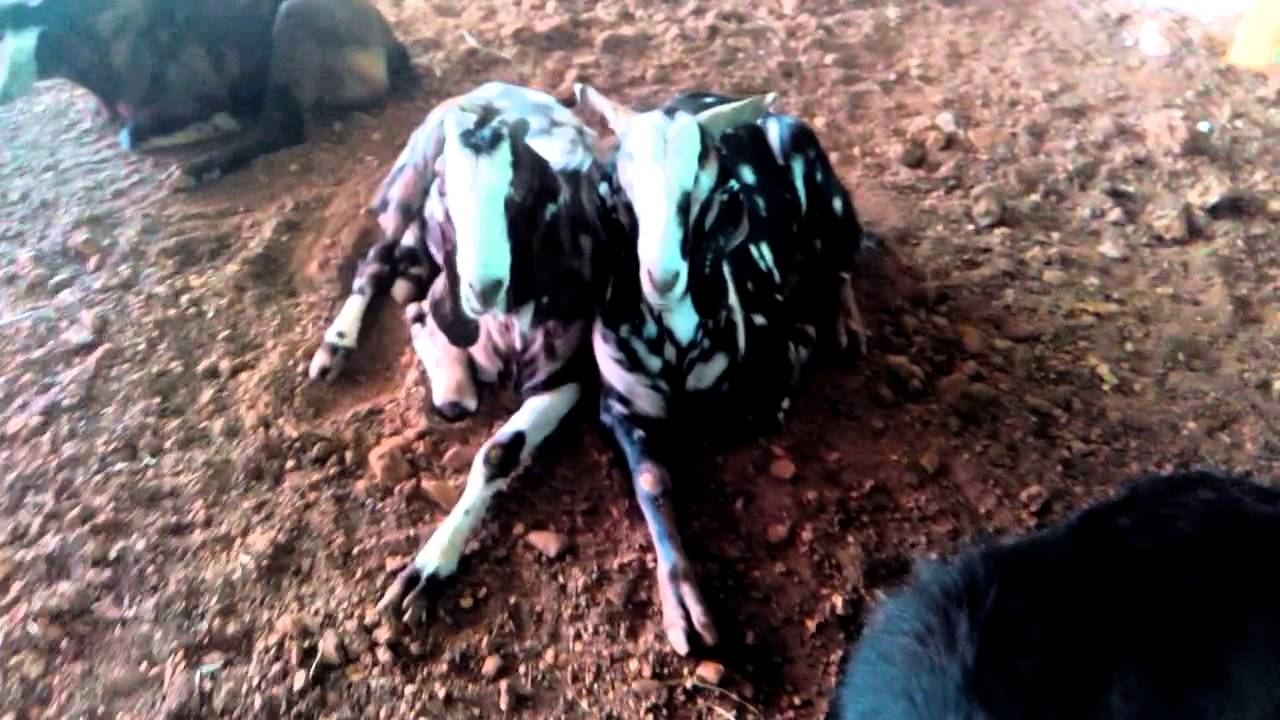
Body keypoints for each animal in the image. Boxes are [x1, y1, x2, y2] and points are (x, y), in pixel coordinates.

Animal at [0, 0, 411, 186]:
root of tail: (388, 42)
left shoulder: (192, 99)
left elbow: (130, 135)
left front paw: (216, 124)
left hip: (294, 19)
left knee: (285, 128)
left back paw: (201, 168)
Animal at [307, 82, 626, 623]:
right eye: (447, 196)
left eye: (518, 195)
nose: (483, 287)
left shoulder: (570, 371)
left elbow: (498, 452)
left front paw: (429, 569)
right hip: (404, 192)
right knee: (377, 261)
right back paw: (337, 346)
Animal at [573, 85, 869, 656]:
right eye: (621, 186)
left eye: (706, 190)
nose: (661, 276)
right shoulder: (617, 407)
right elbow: (652, 478)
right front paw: (682, 602)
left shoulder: (767, 382)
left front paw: (809, 331)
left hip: (831, 202)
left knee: (842, 260)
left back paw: (846, 322)